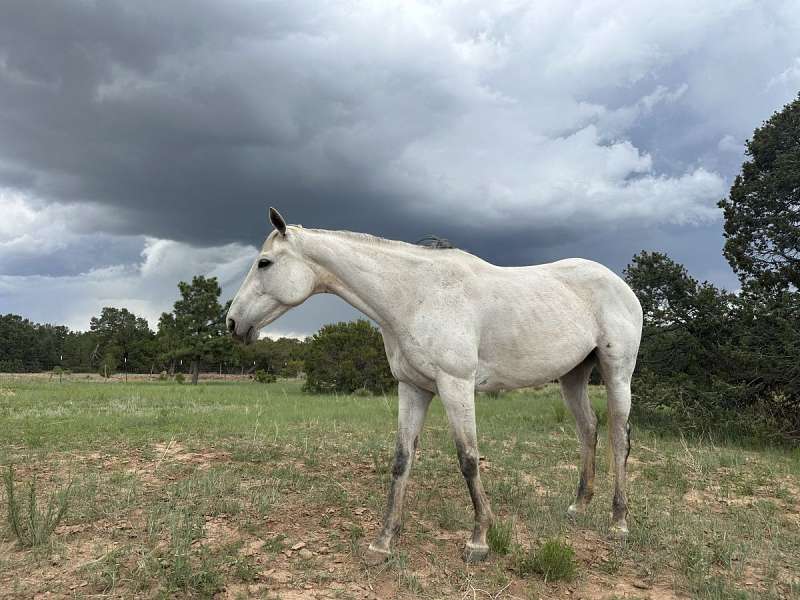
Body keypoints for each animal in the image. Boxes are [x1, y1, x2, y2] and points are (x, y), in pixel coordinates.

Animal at [226, 208, 643, 564]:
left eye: (264, 263)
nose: (232, 322)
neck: (417, 296)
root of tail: (621, 286)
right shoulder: (413, 388)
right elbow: (401, 460)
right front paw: (383, 542)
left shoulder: (455, 385)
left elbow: (468, 459)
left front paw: (478, 539)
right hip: (573, 377)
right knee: (588, 430)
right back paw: (578, 506)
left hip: (617, 374)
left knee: (618, 438)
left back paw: (619, 523)